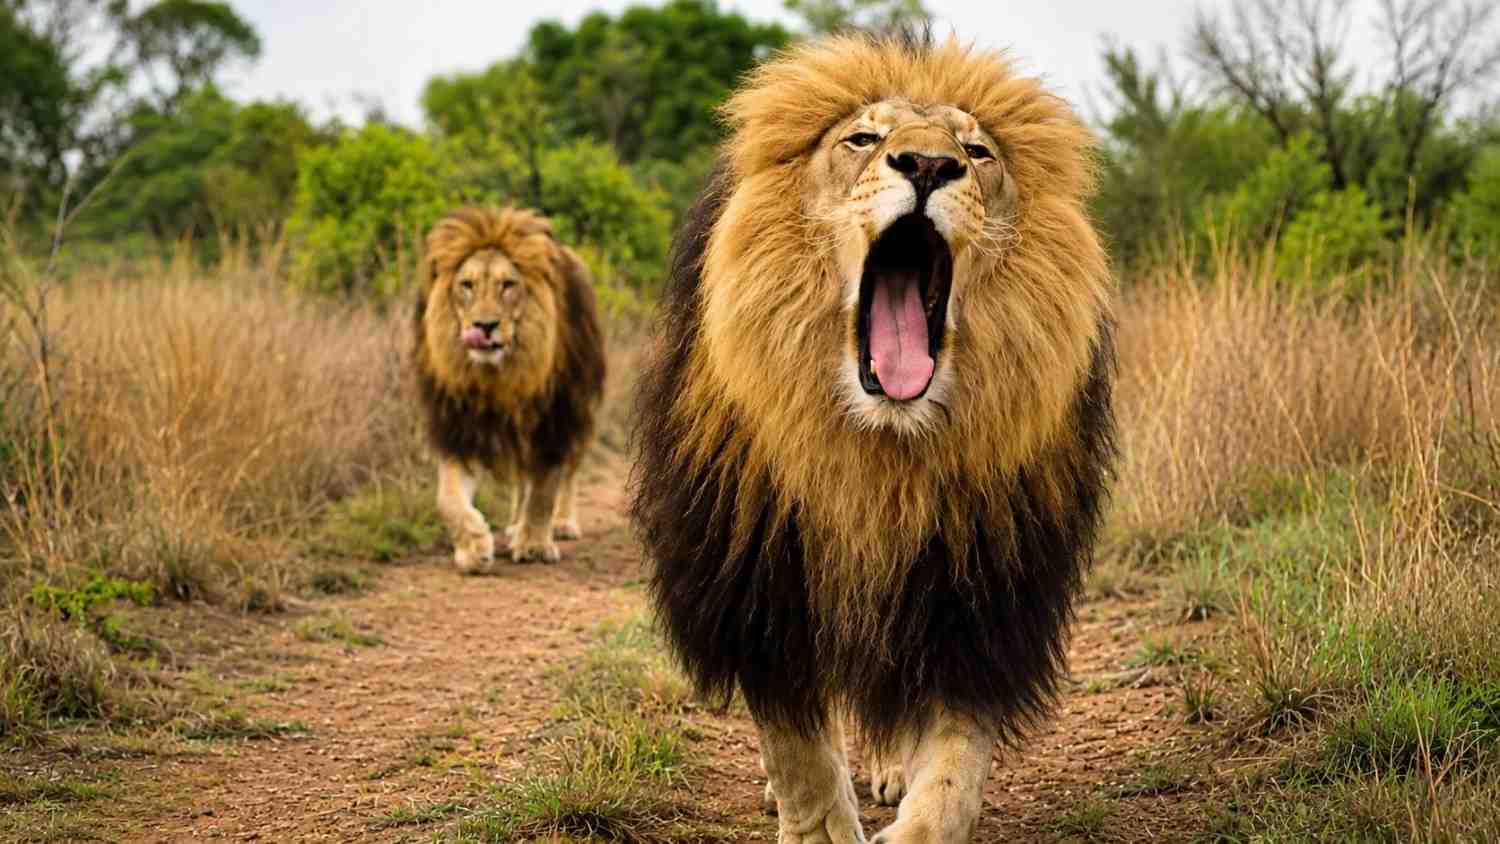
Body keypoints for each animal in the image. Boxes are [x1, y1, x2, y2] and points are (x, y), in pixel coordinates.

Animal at [414, 207, 606, 571]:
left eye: (508, 285)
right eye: (467, 285)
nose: (485, 326)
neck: (498, 378)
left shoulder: (555, 421)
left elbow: (545, 490)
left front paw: (535, 545)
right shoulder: (458, 426)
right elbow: (447, 499)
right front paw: (473, 546)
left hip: (580, 408)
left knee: (568, 474)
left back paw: (561, 524)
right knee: (521, 479)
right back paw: (515, 524)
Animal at [629, 34, 1114, 843]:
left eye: (976, 151)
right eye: (863, 139)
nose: (928, 166)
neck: (878, 449)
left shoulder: (977, 587)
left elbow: (955, 757)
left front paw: (919, 822)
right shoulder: (757, 573)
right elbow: (794, 737)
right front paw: (820, 826)